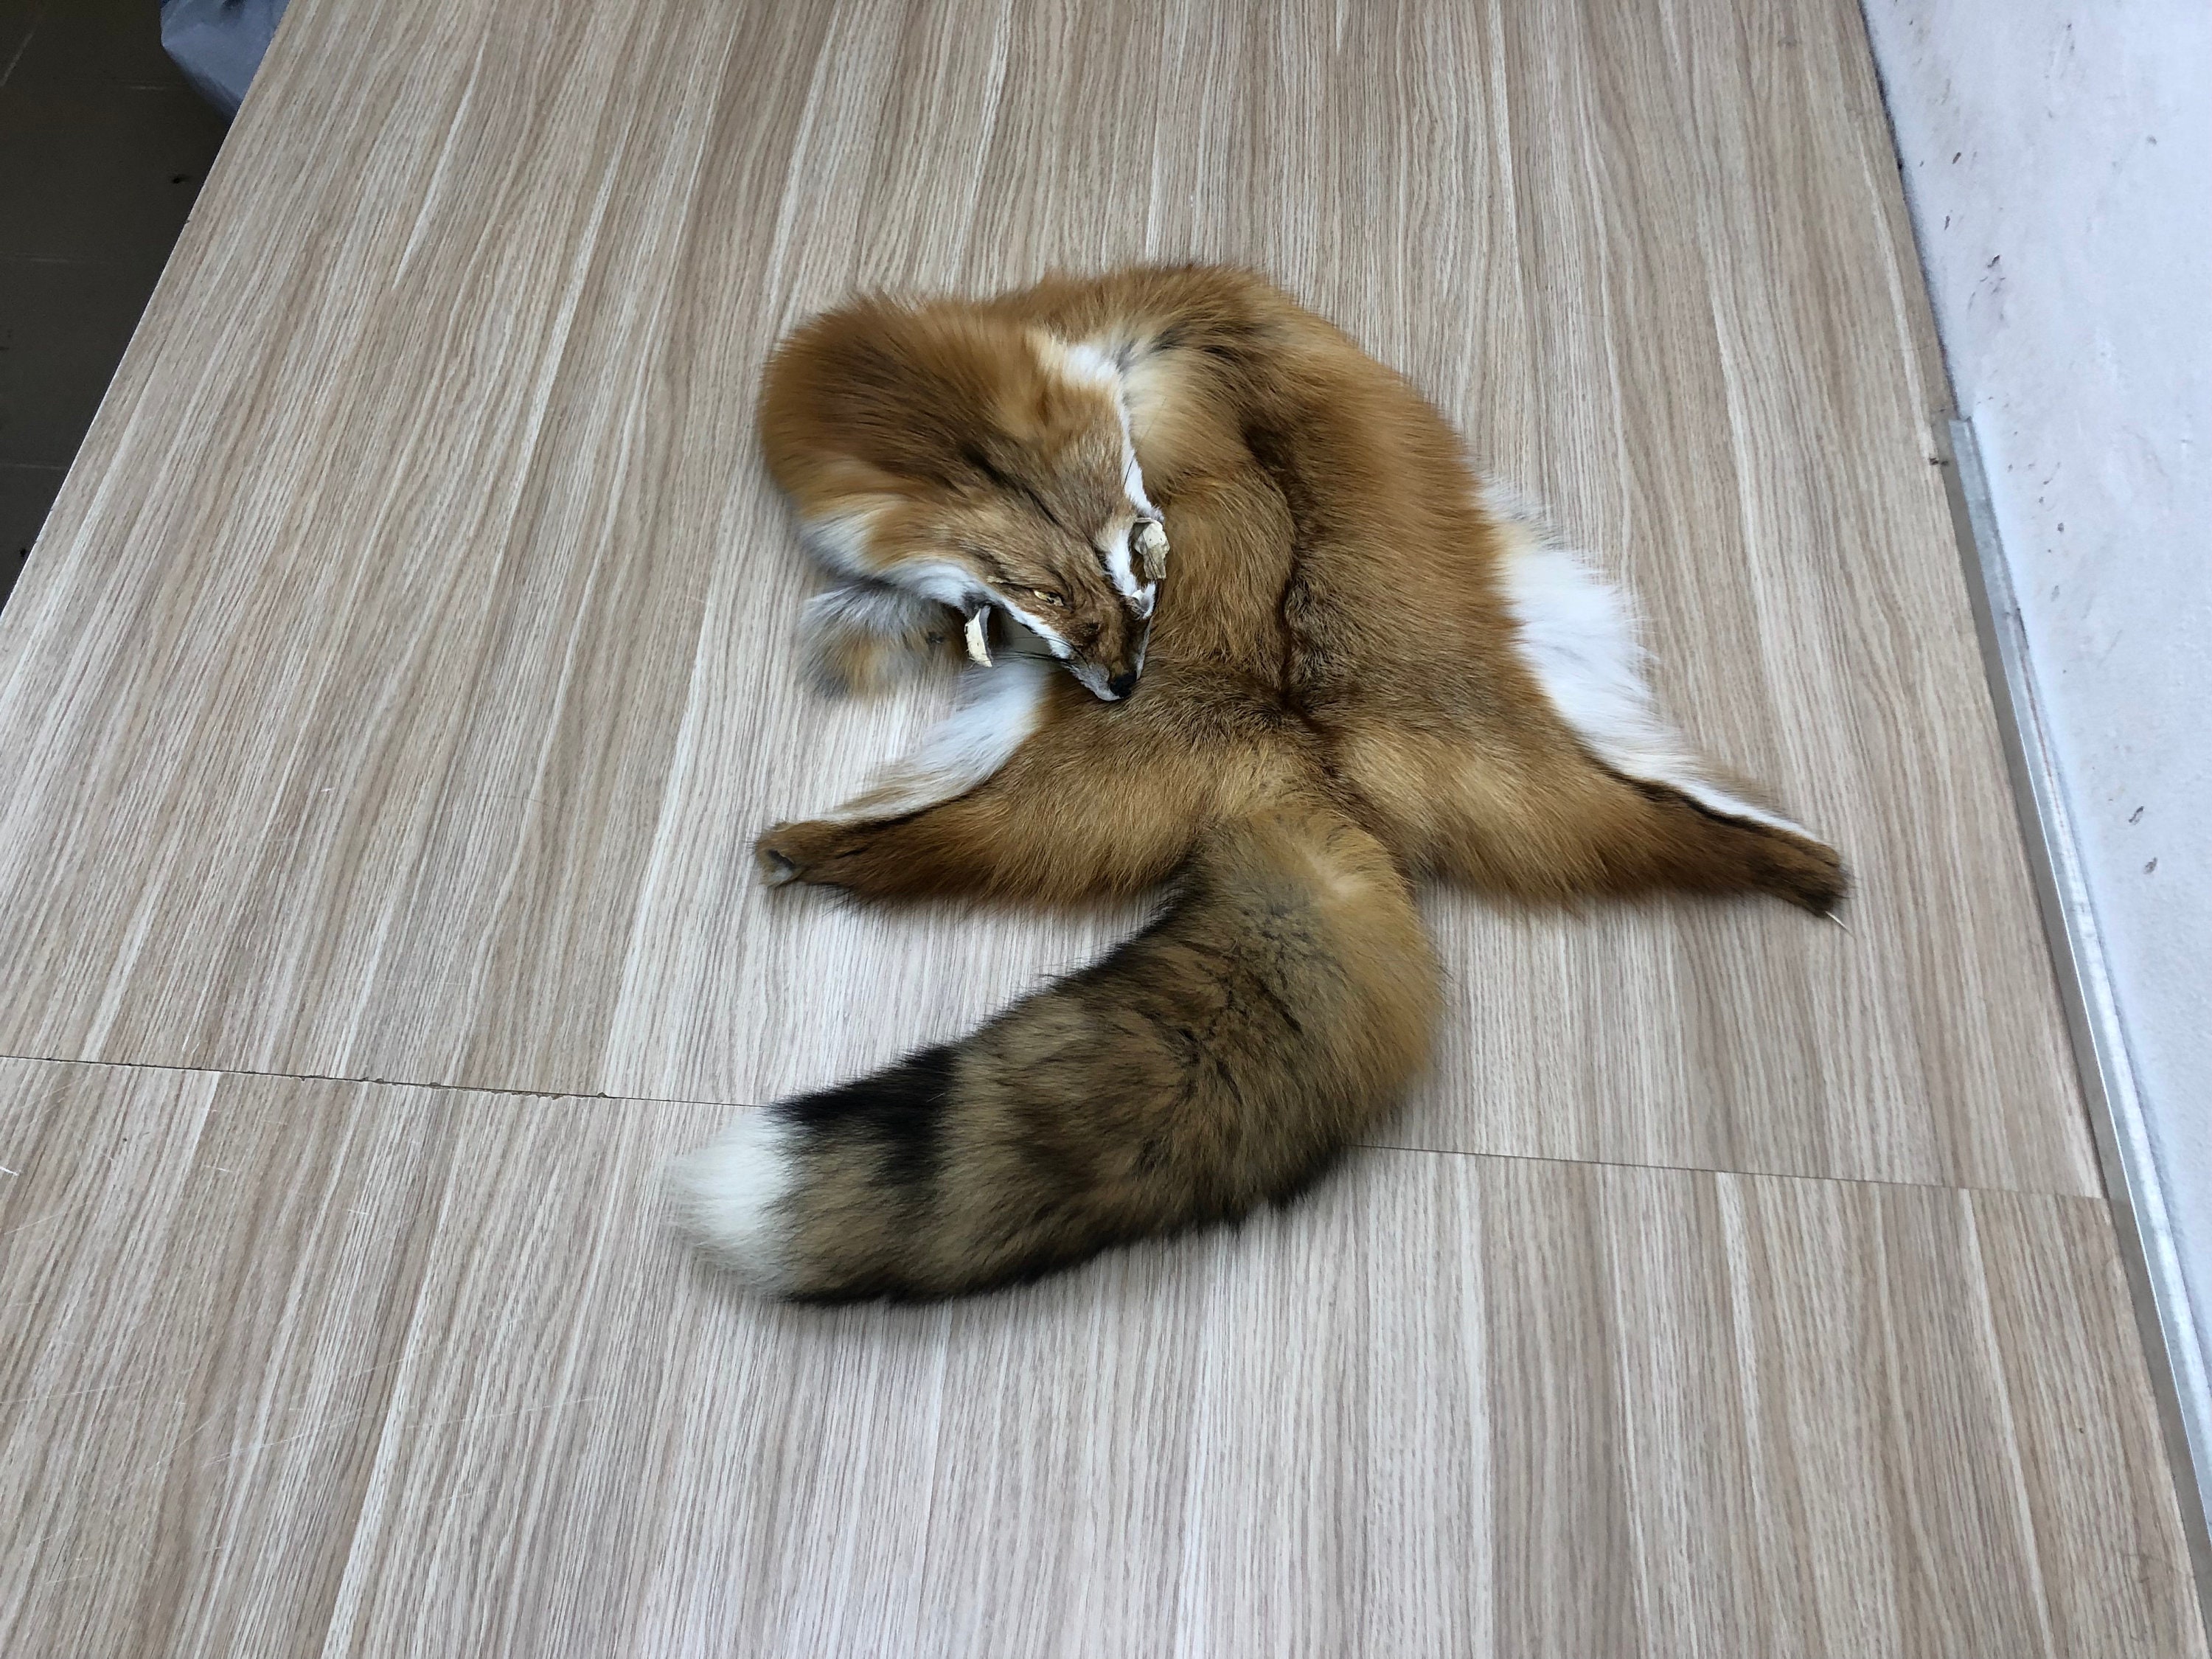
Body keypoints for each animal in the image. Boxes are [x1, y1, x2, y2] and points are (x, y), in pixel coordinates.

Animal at [673, 264, 1845, 1302]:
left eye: (1137, 558)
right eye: (1037, 591)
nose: (1120, 682)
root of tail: (1302, 772)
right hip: (1552, 781)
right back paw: (1803, 869)